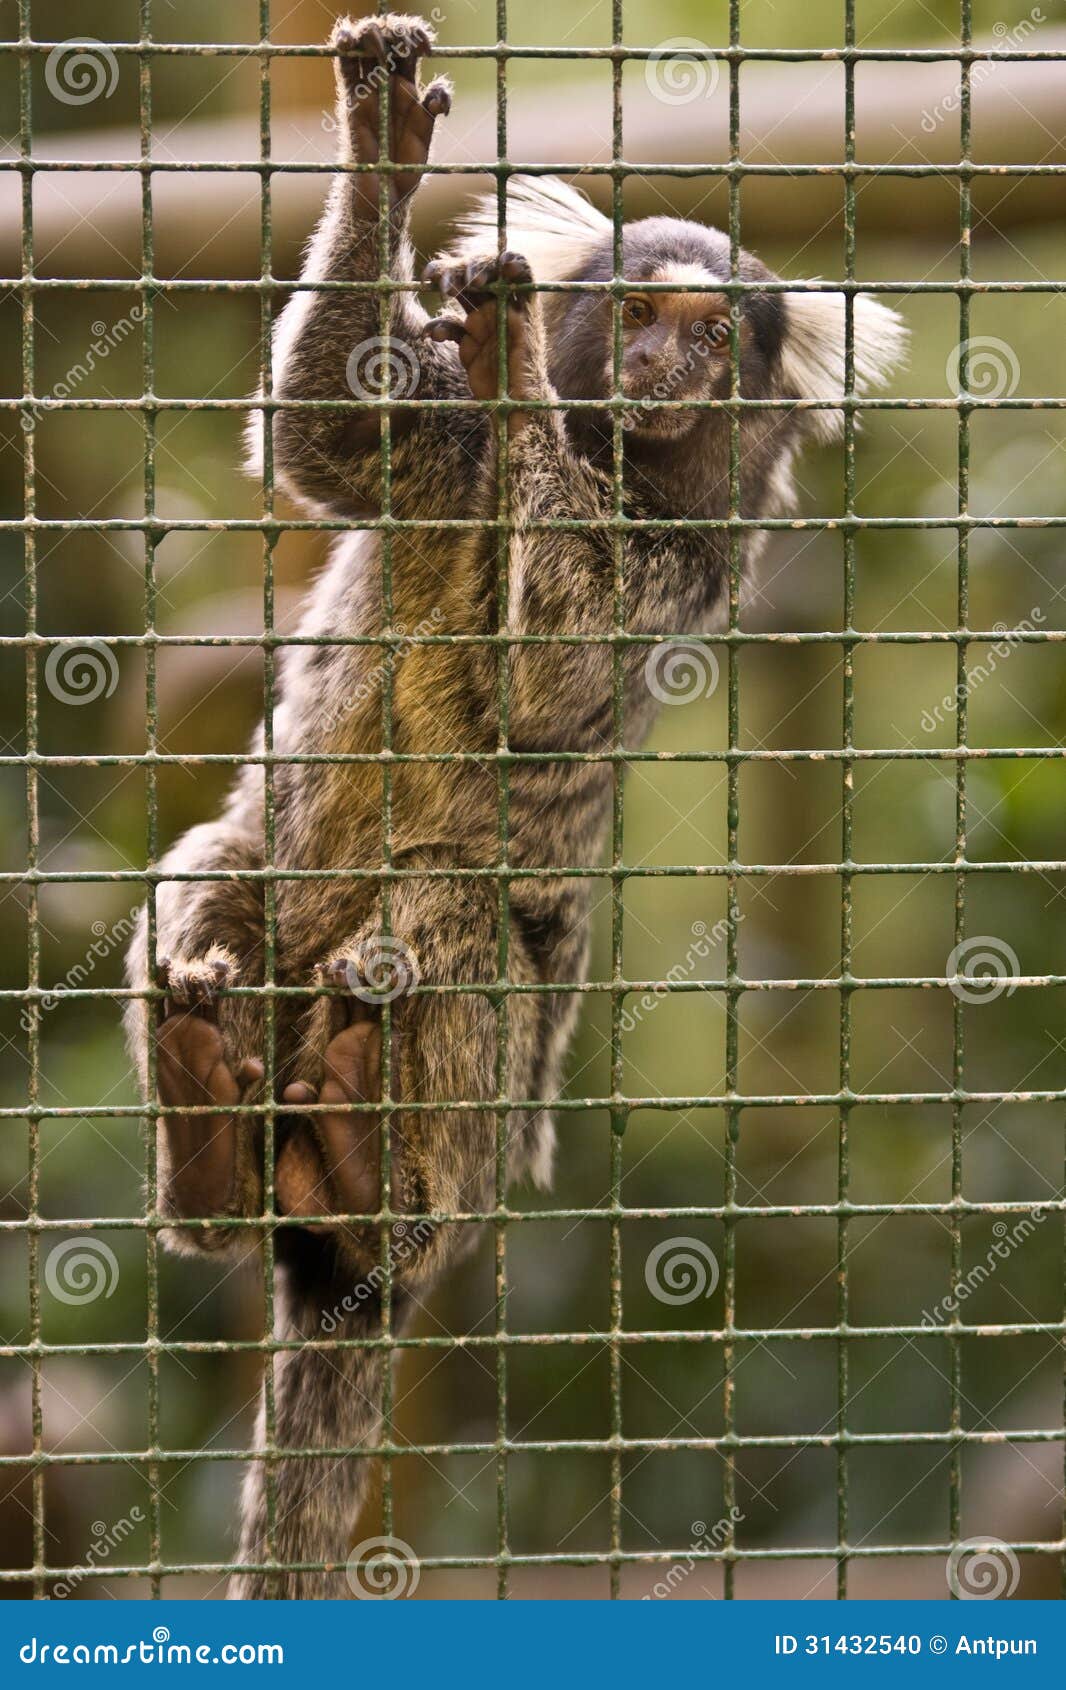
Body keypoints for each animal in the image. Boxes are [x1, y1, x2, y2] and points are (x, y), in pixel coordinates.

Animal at [124, 13, 906, 1598]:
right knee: (215, 877)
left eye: (717, 338)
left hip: (488, 1088)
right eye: (645, 312)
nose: (662, 360)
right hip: (259, 909)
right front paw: (383, 151)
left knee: (451, 928)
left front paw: (510, 360)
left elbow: (552, 662)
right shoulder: (421, 446)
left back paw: (366, 1170)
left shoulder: (680, 569)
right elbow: (324, 432)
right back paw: (207, 1122)